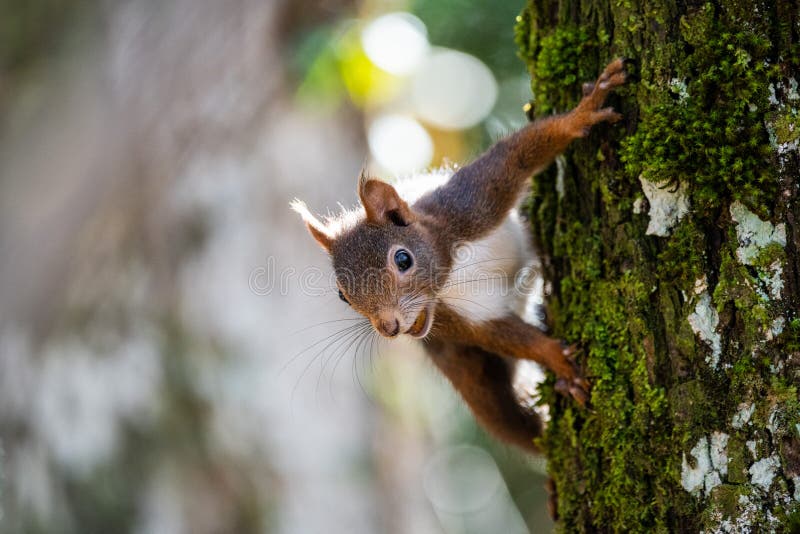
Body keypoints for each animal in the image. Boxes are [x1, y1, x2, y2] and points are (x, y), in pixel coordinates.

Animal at [292, 59, 627, 454]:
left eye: (403, 260)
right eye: (342, 295)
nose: (389, 328)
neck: (451, 268)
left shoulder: (469, 204)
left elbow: (517, 155)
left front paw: (582, 113)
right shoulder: (460, 320)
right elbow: (499, 335)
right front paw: (557, 359)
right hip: (465, 367)